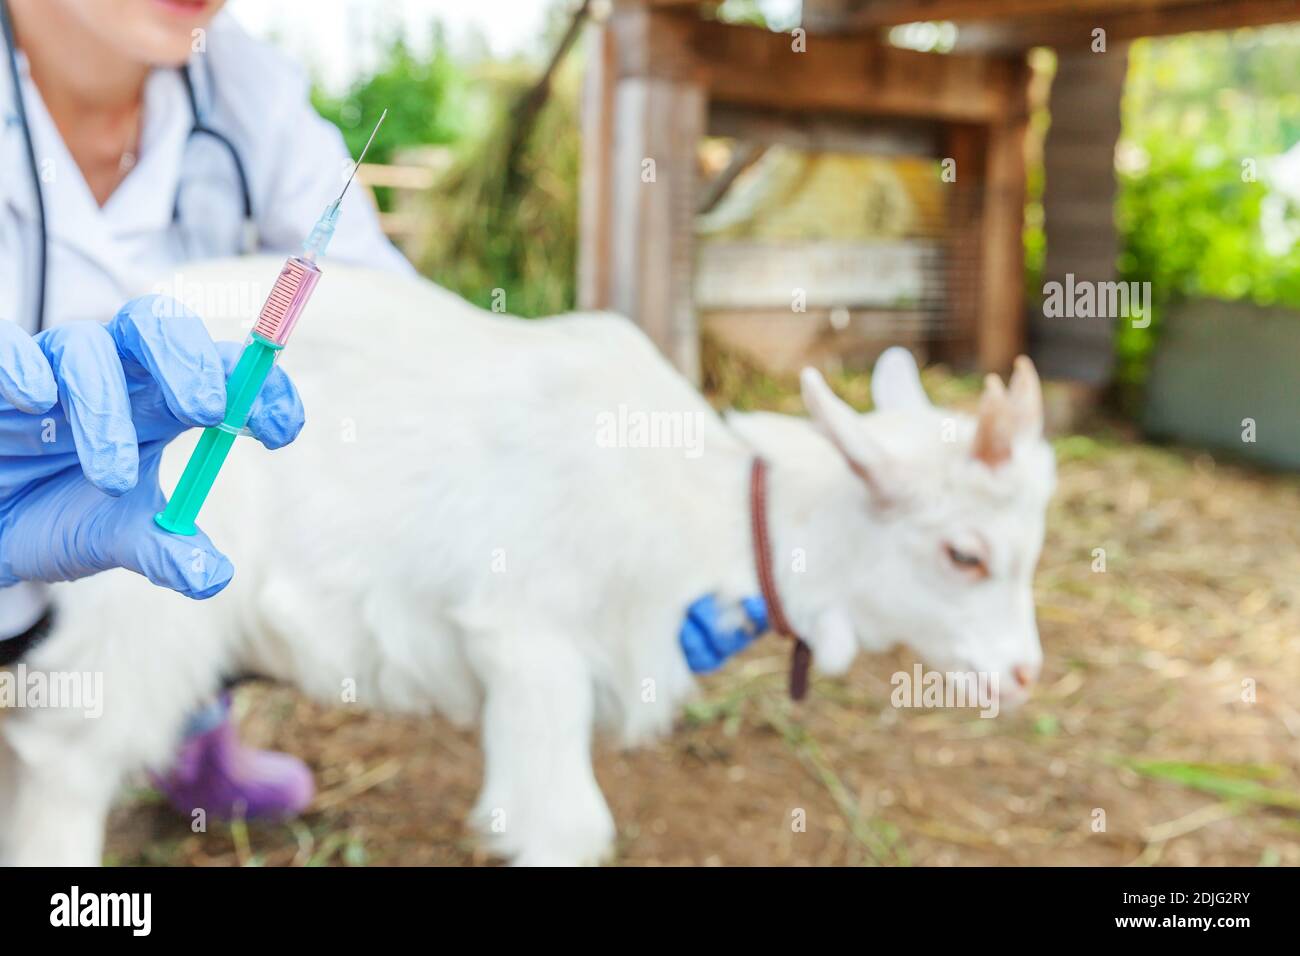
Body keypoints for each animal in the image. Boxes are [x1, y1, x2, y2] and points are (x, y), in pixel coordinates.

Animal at [0, 258, 1055, 866]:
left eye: (1032, 547)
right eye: (964, 554)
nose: (1021, 676)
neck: (697, 498)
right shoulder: (529, 638)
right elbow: (569, 826)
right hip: (137, 608)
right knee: (64, 761)